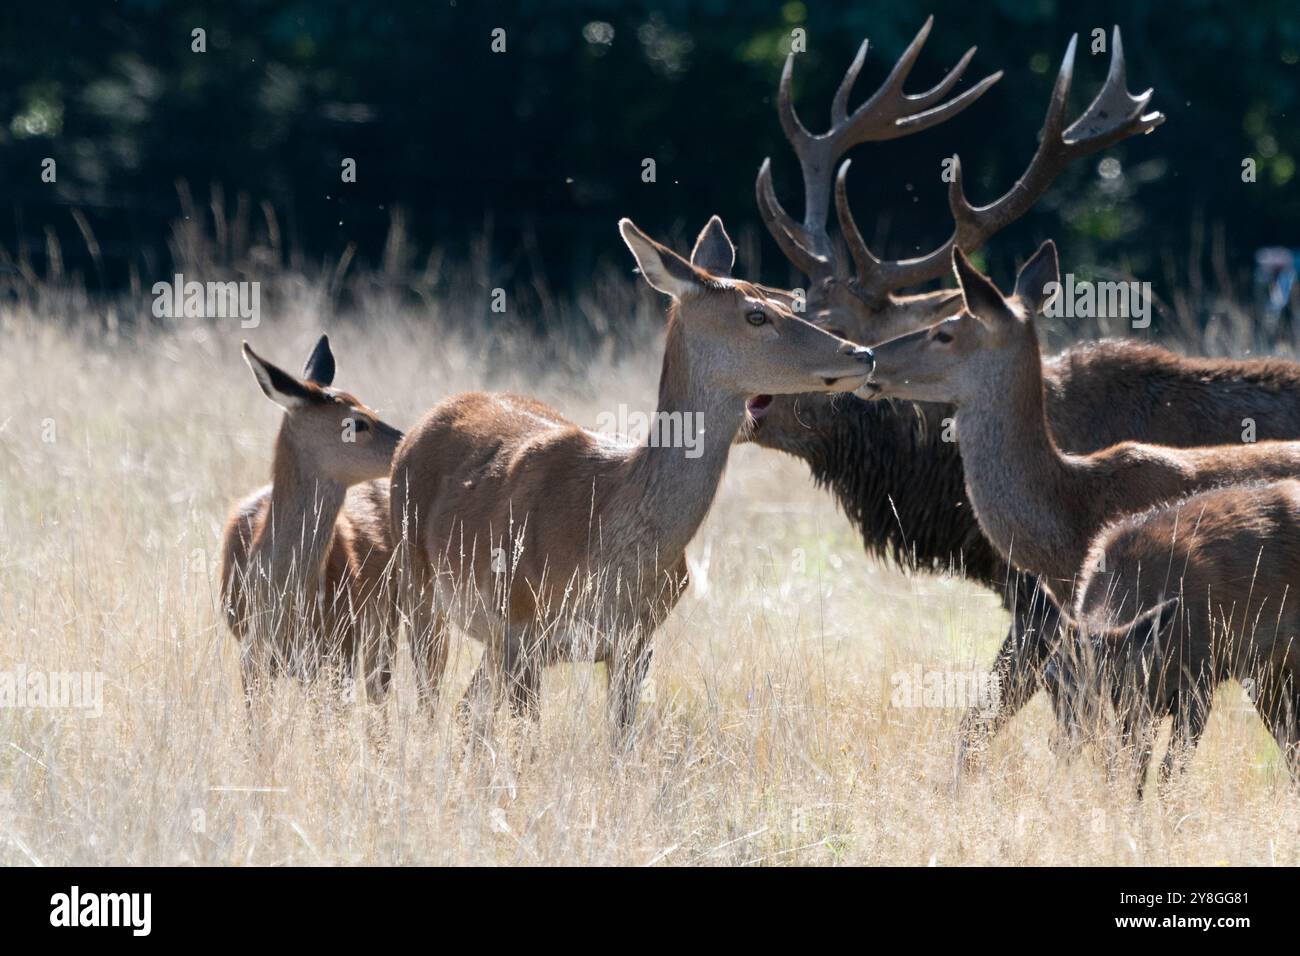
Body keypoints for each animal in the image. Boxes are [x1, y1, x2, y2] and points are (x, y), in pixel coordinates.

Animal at [388, 217, 875, 744]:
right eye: (756, 315)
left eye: (784, 300)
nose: (863, 353)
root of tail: (421, 425)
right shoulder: (521, 623)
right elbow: (528, 743)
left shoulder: (636, 641)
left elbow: (621, 743)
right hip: (417, 586)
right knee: (432, 703)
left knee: (464, 709)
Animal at [1050, 479, 1300, 794]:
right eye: (1049, 681)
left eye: (1113, 685)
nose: (1062, 747)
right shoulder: (1145, 705)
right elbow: (1131, 771)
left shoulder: (1199, 680)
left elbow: (1168, 773)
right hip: (1266, 675)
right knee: (1291, 742)